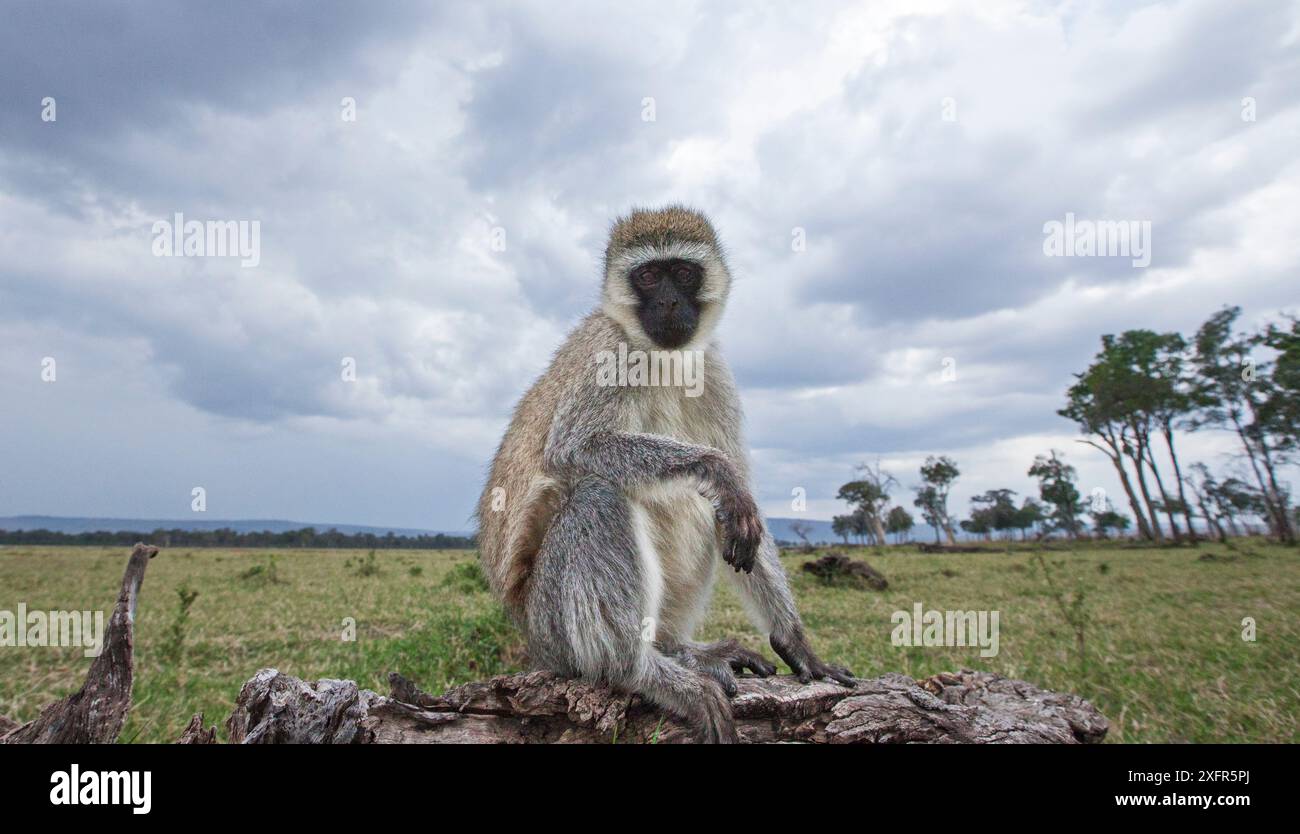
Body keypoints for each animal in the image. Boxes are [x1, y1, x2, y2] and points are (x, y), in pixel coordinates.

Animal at [476, 205, 854, 743]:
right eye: (649, 276)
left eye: (683, 272)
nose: (670, 301)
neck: (663, 358)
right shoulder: (610, 352)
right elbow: (576, 449)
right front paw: (716, 468)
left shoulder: (714, 370)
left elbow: (745, 508)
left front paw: (797, 643)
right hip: (552, 630)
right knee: (599, 496)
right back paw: (642, 671)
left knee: (706, 512)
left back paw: (681, 649)